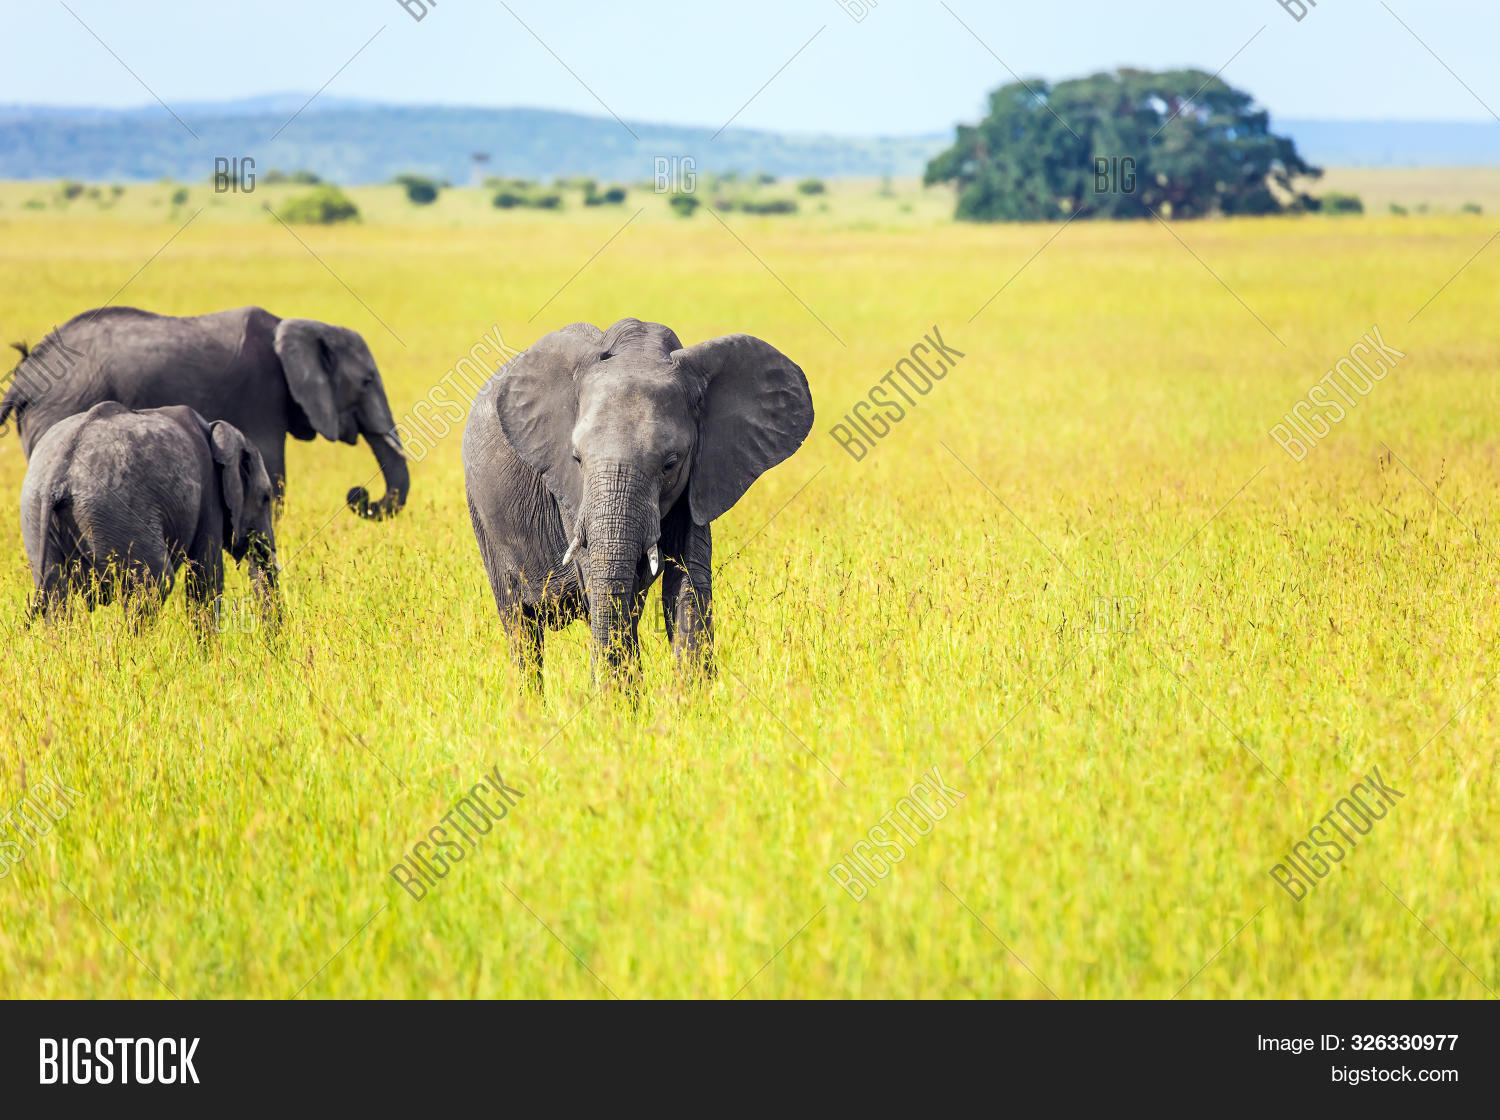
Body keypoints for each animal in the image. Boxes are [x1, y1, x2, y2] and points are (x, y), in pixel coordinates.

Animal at [2, 305, 409, 519]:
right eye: (367, 381)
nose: (357, 494)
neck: (295, 325)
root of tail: (22, 378)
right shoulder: (262, 391)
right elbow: (272, 470)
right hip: (62, 409)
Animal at [21, 401, 281, 630]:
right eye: (266, 497)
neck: (215, 432)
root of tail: (58, 474)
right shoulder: (209, 496)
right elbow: (205, 578)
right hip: (117, 513)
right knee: (155, 581)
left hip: (35, 510)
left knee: (55, 592)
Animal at [463, 317, 814, 687]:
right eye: (576, 459)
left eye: (670, 464)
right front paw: (616, 703)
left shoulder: (702, 477)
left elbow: (688, 579)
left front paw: (693, 700)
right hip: (483, 520)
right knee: (519, 625)